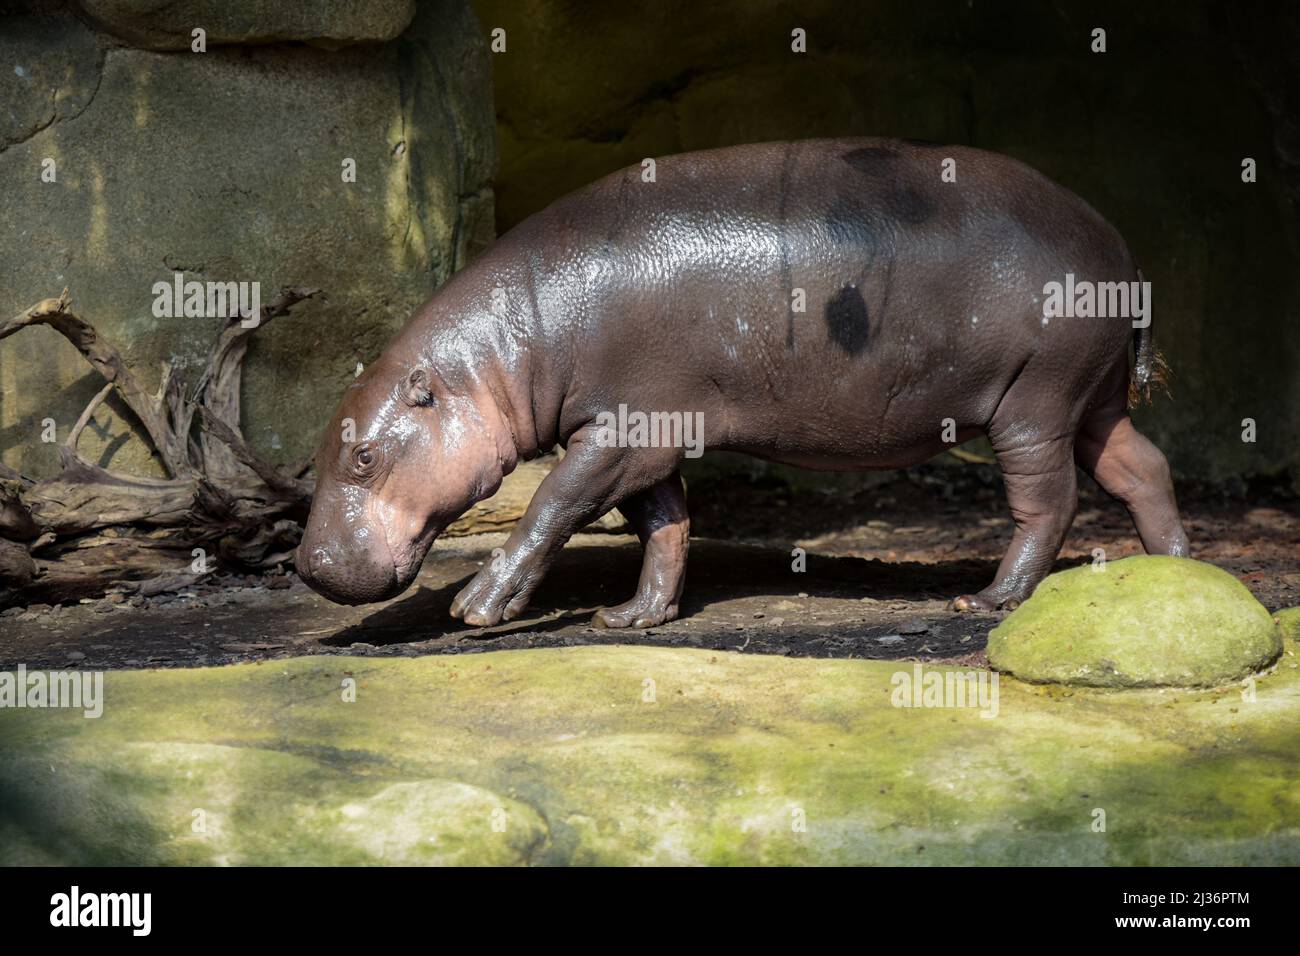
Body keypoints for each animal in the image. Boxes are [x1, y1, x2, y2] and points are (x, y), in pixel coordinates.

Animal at [295, 138, 1189, 626]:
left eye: (365, 457)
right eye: (320, 451)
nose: (306, 566)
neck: (503, 353)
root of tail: (1123, 248)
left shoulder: (613, 432)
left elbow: (552, 506)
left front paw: (476, 608)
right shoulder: (647, 433)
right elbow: (665, 525)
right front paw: (631, 616)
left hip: (1033, 400)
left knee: (1049, 500)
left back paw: (988, 600)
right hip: (1089, 399)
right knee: (1142, 468)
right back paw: (1177, 572)